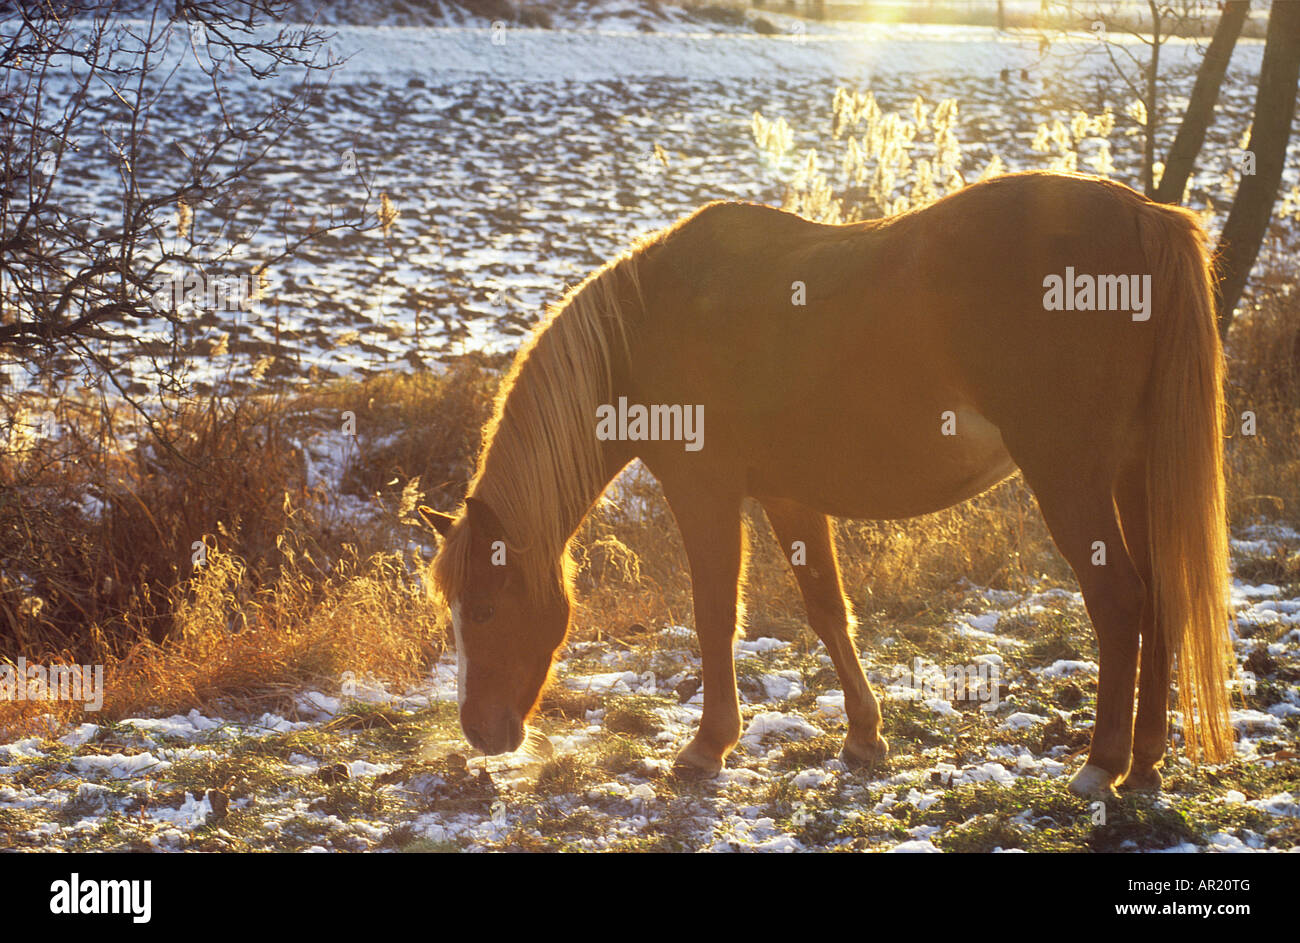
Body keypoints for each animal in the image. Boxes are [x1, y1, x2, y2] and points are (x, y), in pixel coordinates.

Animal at [422, 170, 1235, 799]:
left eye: (487, 608)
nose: (479, 732)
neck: (650, 324)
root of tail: (1144, 217)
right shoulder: (789, 495)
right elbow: (826, 610)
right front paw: (865, 737)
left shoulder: (705, 492)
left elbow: (715, 615)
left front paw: (707, 746)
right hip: (1131, 474)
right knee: (1161, 596)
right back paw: (1146, 762)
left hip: (1070, 476)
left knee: (1120, 602)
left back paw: (1101, 765)